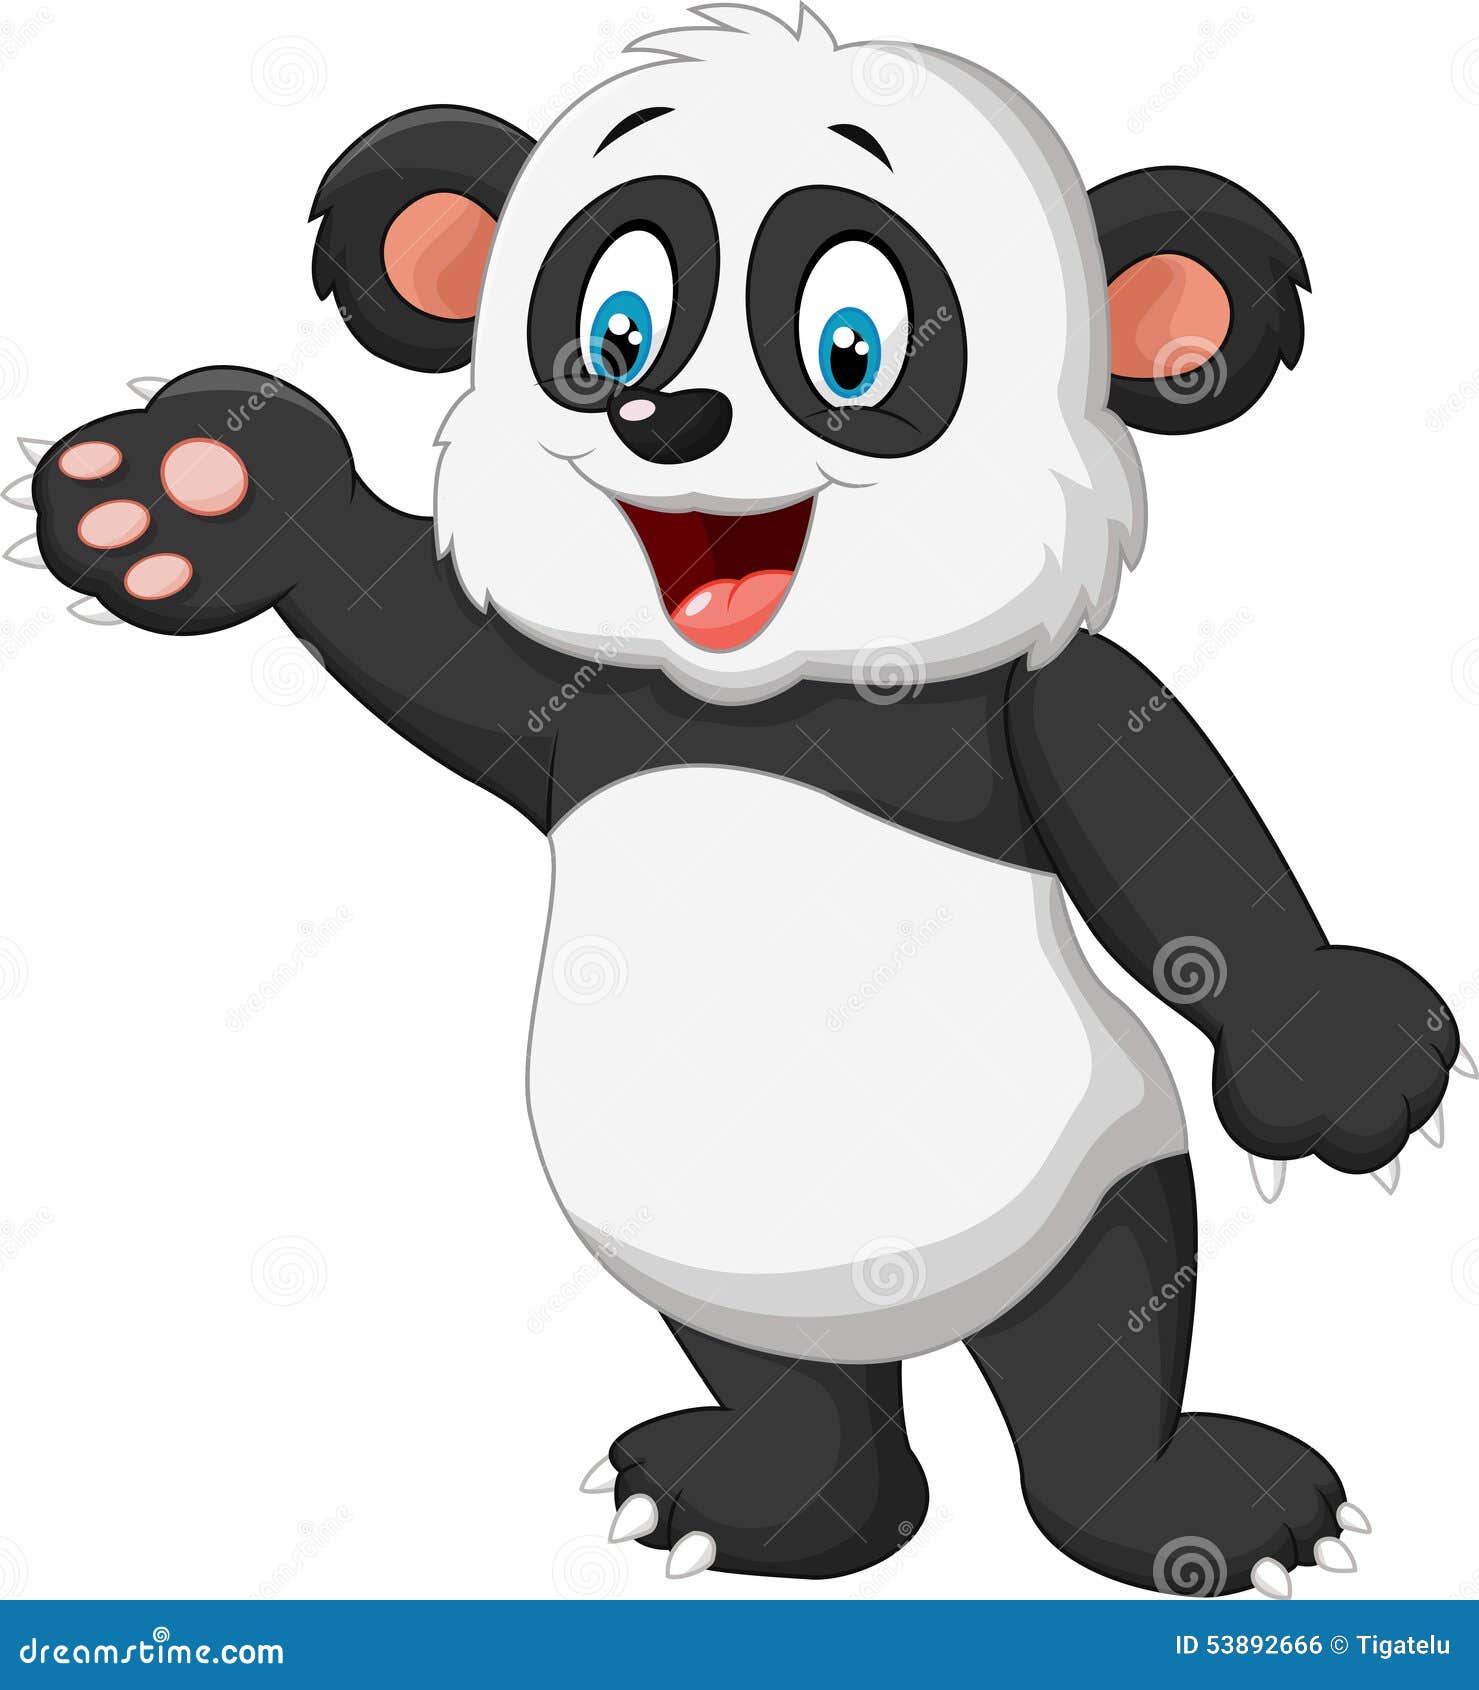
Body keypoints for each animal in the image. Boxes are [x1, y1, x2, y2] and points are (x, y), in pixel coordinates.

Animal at [10, 3, 1465, 1599]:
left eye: (851, 346)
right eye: (611, 326)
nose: (664, 410)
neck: (774, 691)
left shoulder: (1039, 709)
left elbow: (1162, 814)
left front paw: (1332, 1047)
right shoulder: (573, 707)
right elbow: (408, 625)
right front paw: (197, 494)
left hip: (1095, 1185)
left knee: (1104, 1334)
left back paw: (1183, 1508)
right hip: (712, 1279)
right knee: (793, 1388)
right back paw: (766, 1500)